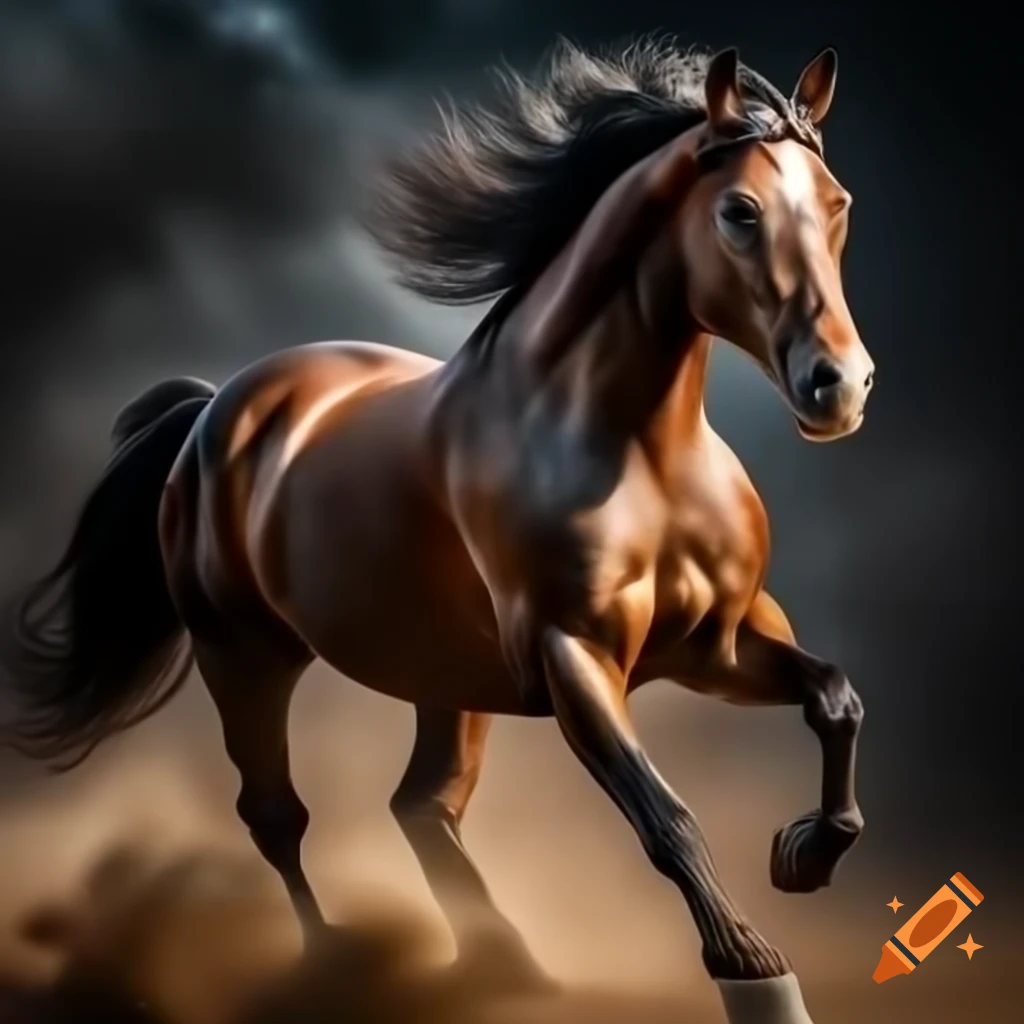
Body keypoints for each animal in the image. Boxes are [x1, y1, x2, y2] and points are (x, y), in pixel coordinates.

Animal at [2, 40, 874, 1024]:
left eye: (837, 202)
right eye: (739, 210)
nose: (840, 386)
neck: (636, 453)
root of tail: (216, 405)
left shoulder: (717, 645)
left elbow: (834, 698)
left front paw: (803, 854)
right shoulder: (575, 657)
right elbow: (667, 816)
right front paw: (753, 966)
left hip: (442, 675)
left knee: (420, 805)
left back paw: (508, 966)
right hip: (245, 657)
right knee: (277, 816)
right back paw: (334, 964)